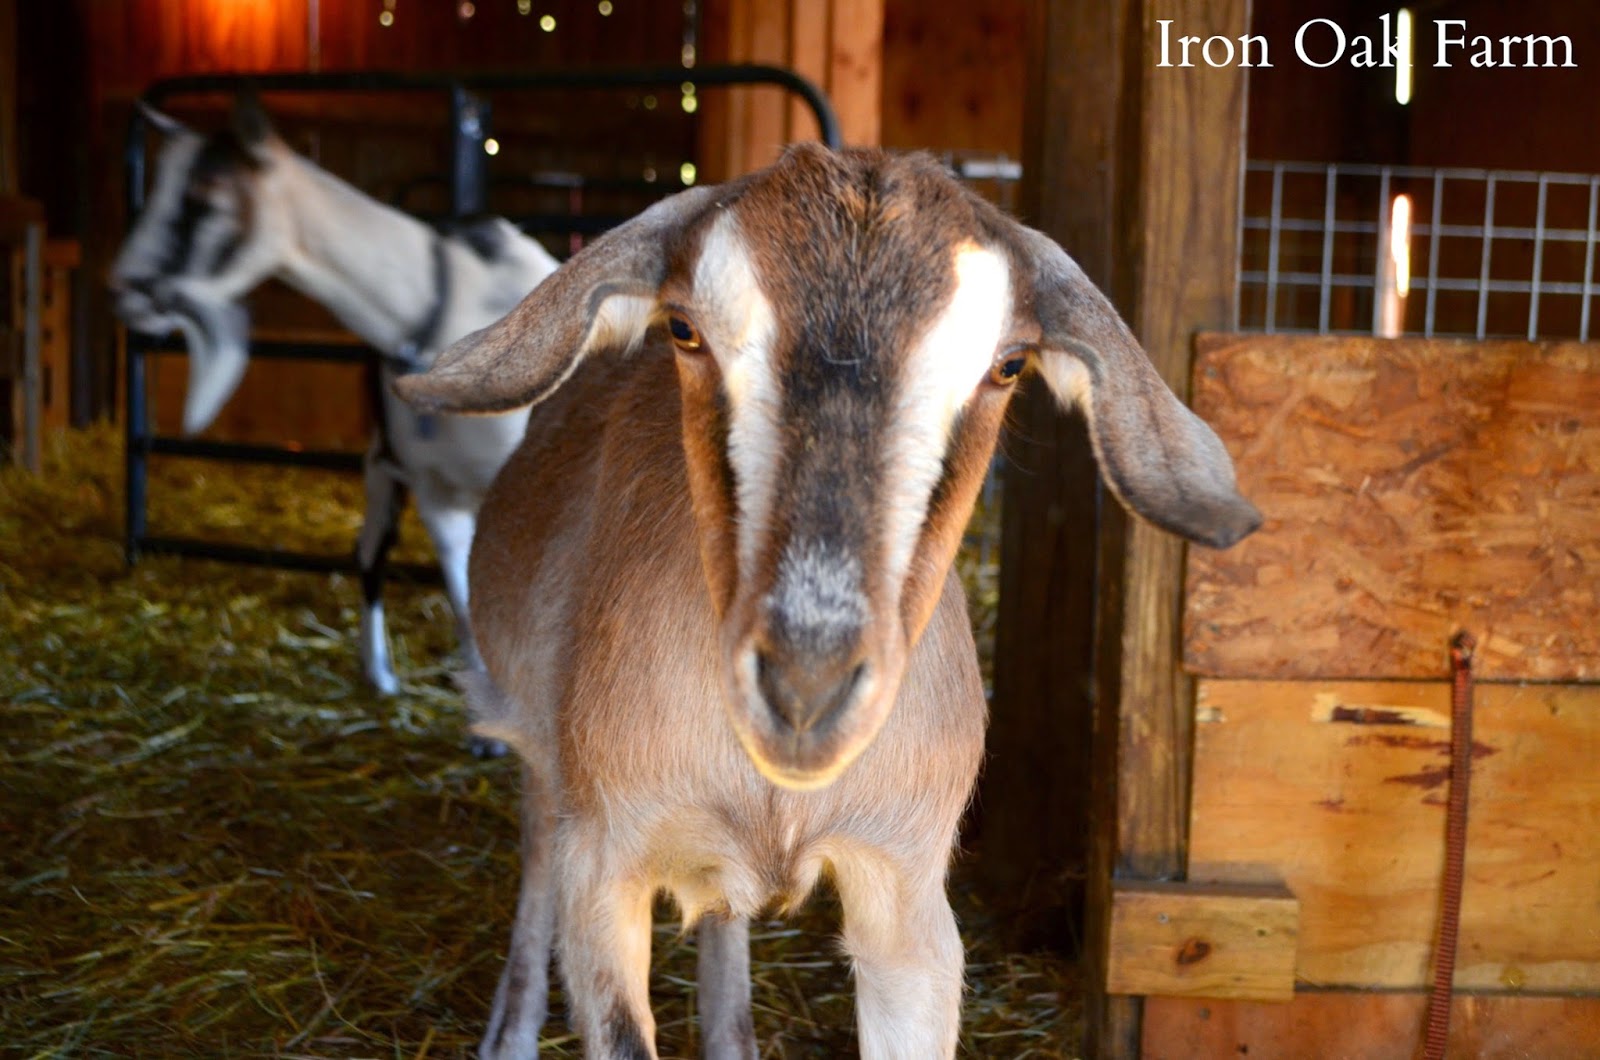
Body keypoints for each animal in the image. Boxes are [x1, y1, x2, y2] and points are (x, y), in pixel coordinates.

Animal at [109, 95, 559, 698]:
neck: (441, 307)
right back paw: (381, 673)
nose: (124, 290)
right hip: (382, 460)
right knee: (369, 551)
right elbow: (469, 610)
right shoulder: (434, 488)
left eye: (204, 198)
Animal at [397, 144, 1261, 1059]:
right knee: (535, 861)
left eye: (1007, 365)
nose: (805, 689)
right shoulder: (602, 866)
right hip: (538, 756)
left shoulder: (907, 893)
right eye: (684, 329)